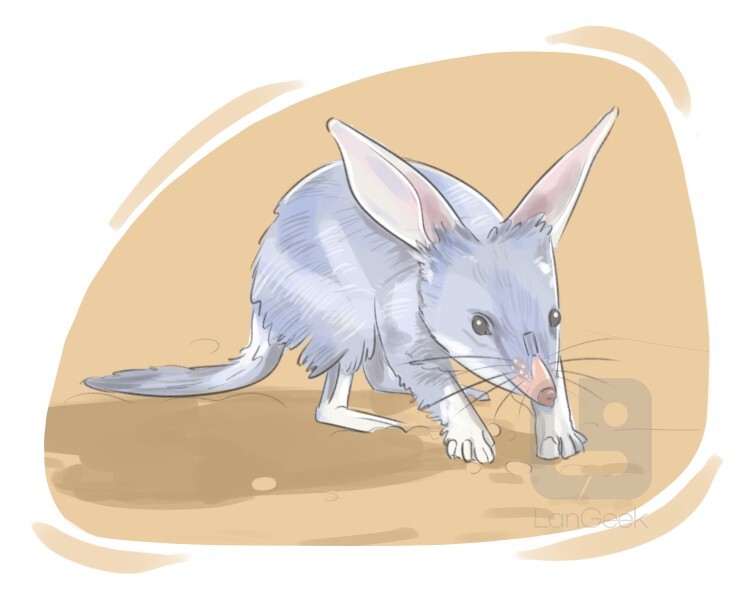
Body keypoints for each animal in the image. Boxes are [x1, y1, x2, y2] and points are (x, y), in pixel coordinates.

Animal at [85, 107, 618, 464]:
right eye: (480, 325)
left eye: (555, 317)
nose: (540, 392)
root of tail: (260, 302)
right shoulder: (406, 333)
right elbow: (435, 384)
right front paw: (473, 441)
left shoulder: (547, 350)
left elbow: (556, 370)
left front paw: (560, 437)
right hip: (351, 319)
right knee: (333, 402)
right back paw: (372, 421)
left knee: (379, 377)